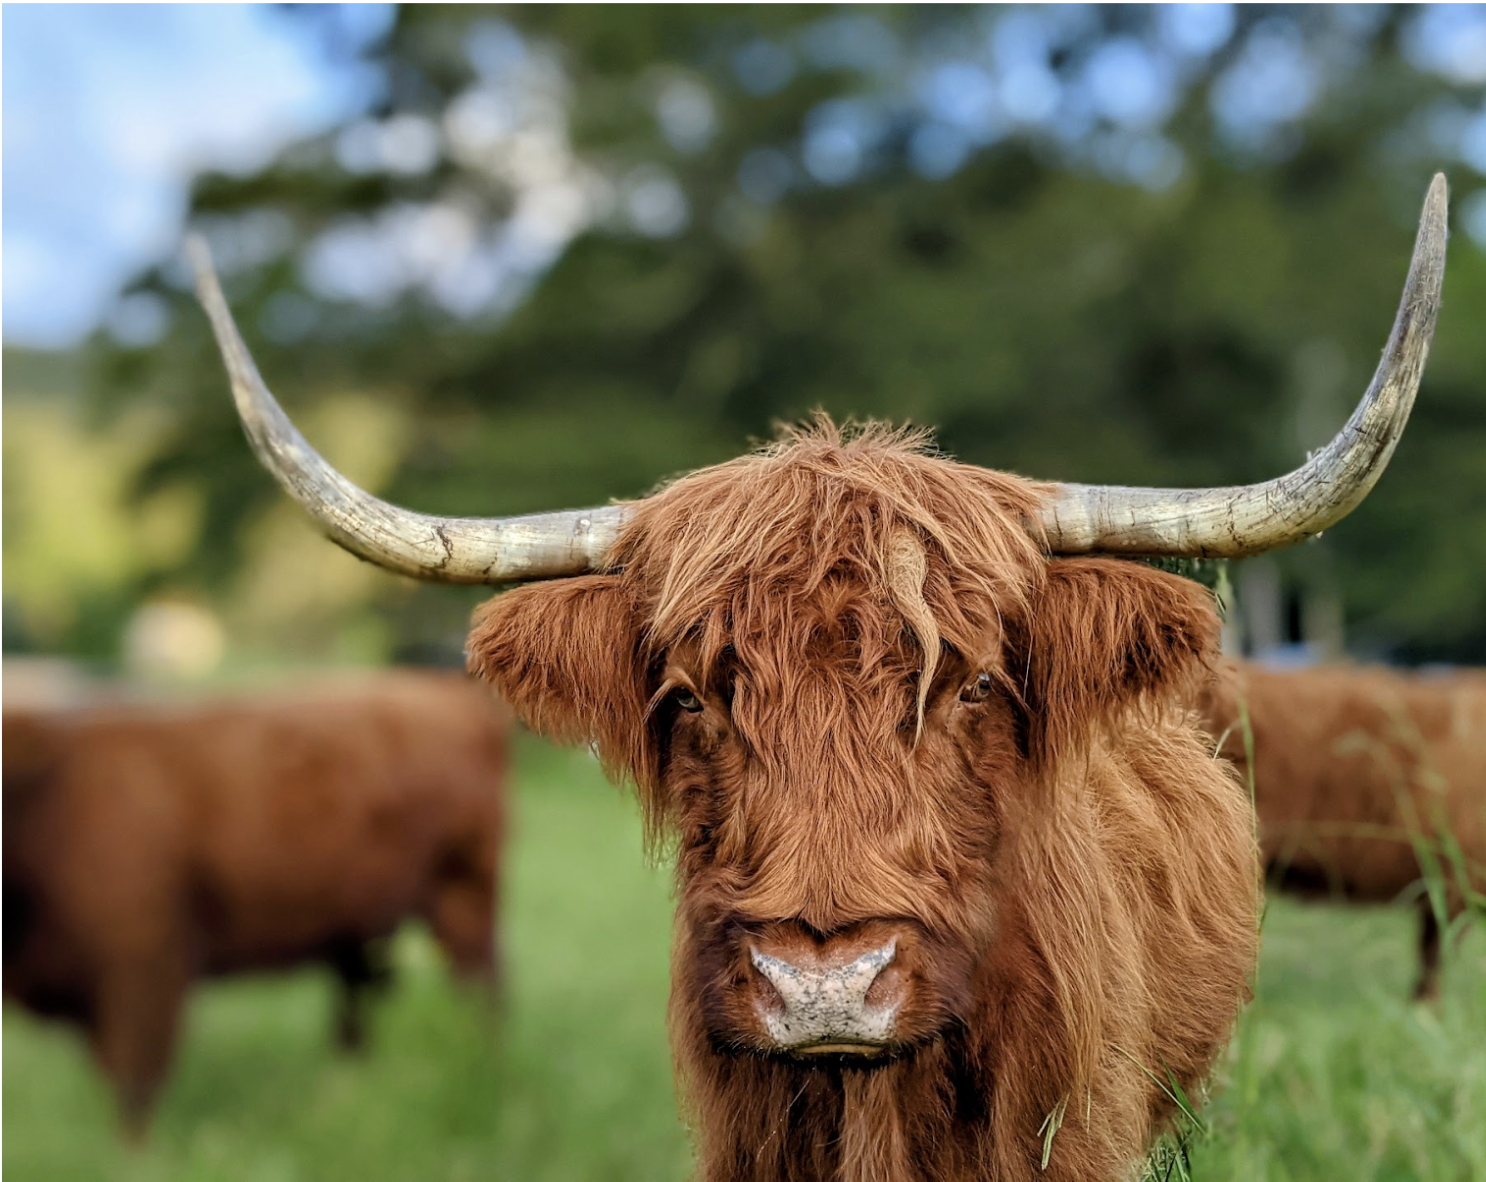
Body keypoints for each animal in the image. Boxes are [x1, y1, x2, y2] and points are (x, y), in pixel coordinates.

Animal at [3, 670, 509, 1136]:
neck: (50, 803)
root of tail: (438, 687)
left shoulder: (144, 972)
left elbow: (134, 1089)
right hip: (361, 932)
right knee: (356, 1011)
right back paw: (347, 1094)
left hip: (463, 900)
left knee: (480, 992)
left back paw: (480, 1068)